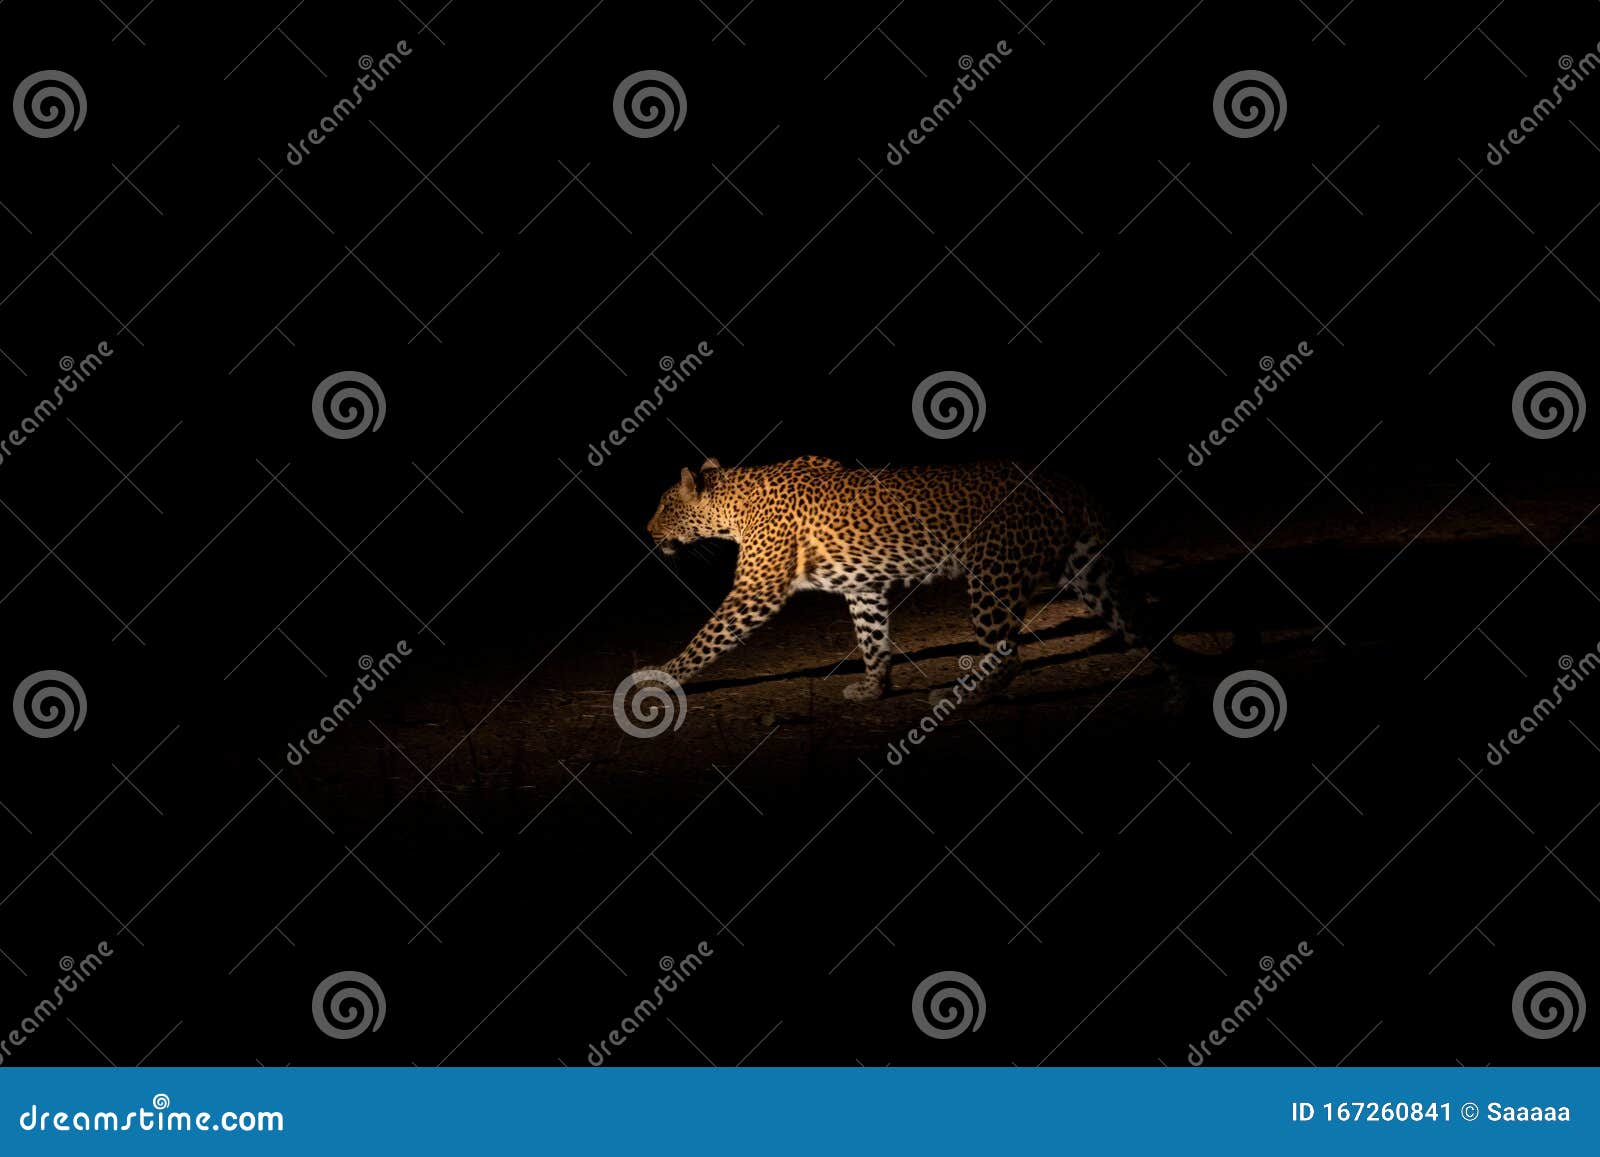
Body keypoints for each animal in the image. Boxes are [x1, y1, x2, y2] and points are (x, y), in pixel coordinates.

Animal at [641, 455, 1199, 708]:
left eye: (665, 505)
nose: (647, 531)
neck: (733, 506)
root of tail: (1071, 483)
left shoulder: (755, 591)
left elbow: (706, 638)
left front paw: (659, 676)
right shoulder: (863, 588)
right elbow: (872, 639)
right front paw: (873, 687)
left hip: (993, 577)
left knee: (1008, 655)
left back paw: (963, 698)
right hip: (1089, 570)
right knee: (1139, 623)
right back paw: (1178, 687)